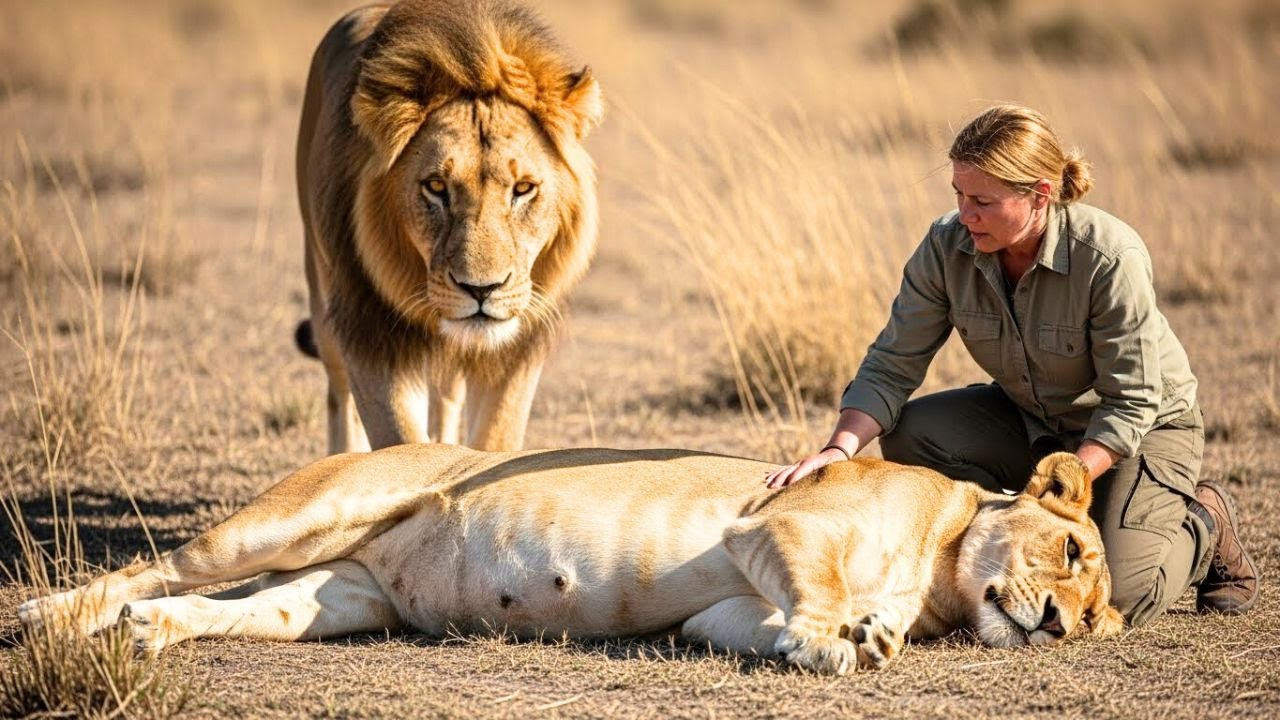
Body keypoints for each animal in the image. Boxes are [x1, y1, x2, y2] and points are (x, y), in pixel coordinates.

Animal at [296, 0, 602, 454]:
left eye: (523, 189)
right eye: (436, 187)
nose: (481, 290)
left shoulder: (517, 348)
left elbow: (494, 441)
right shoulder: (370, 331)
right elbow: (400, 440)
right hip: (323, 293)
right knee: (339, 394)